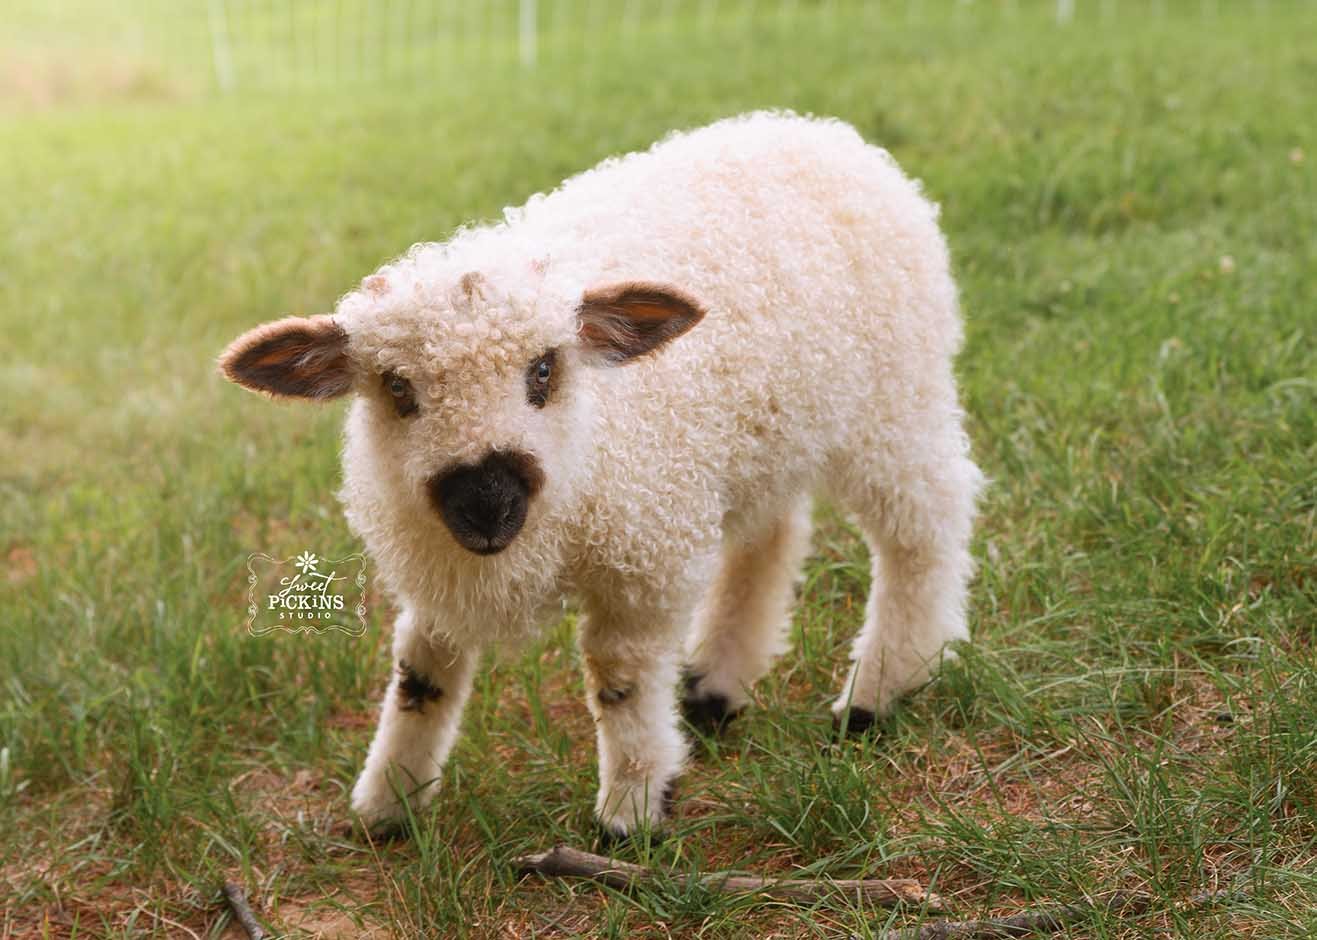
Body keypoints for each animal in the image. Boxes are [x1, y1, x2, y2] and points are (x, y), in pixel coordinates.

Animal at [218, 111, 983, 840]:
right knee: (771, 536)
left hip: (893, 398)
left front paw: (631, 809)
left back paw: (878, 691)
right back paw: (716, 687)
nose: (486, 503)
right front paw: (388, 805)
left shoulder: (645, 559)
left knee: (923, 527)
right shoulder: (441, 568)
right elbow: (420, 673)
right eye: (397, 388)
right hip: (761, 434)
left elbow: (619, 679)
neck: (578, 464)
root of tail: (826, 136)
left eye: (544, 370)